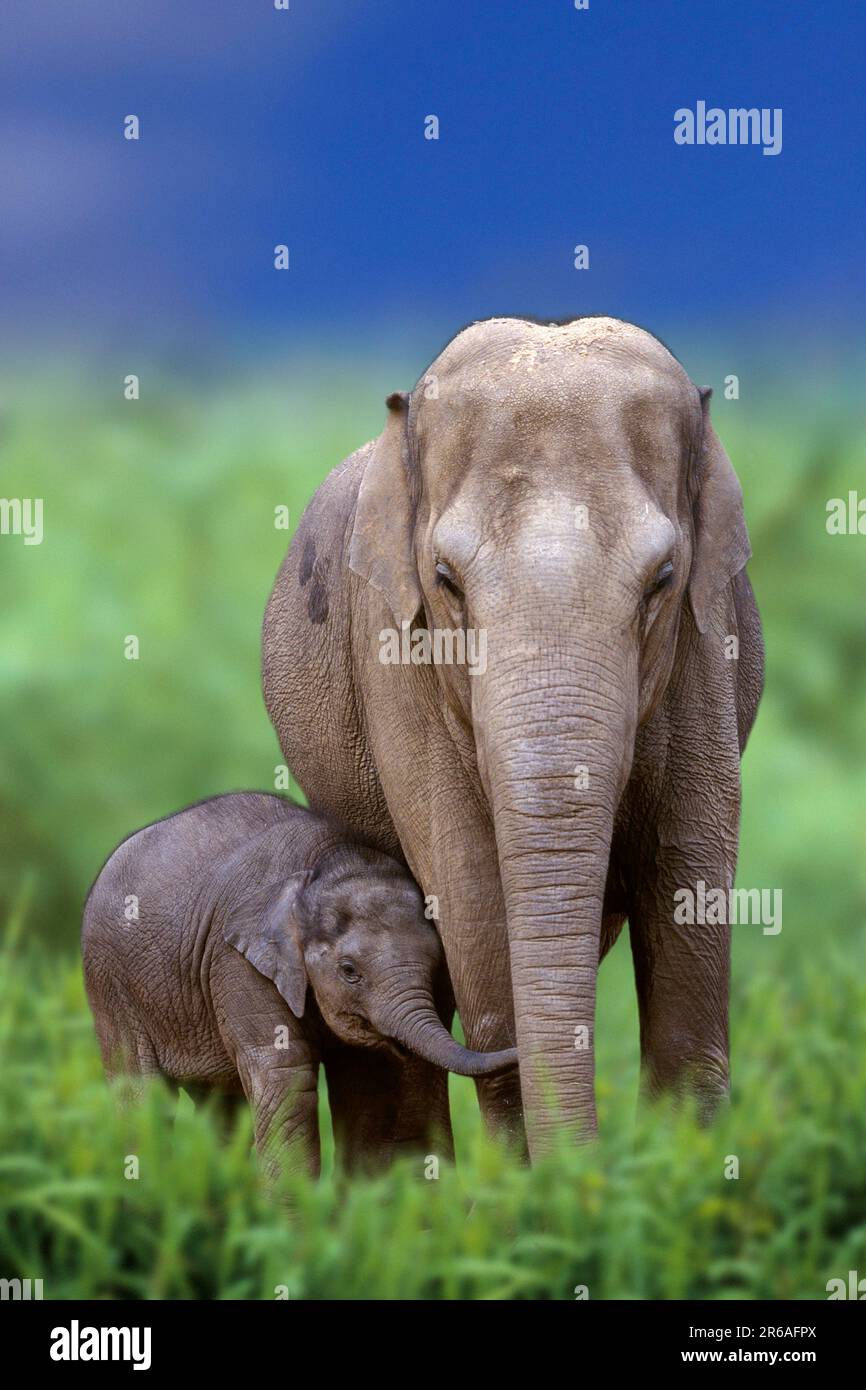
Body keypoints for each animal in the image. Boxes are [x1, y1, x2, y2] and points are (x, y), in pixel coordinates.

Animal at [82, 792, 516, 1177]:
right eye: (349, 970)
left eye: (435, 965)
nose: (518, 1049)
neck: (332, 860)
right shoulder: (235, 963)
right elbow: (285, 1076)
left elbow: (368, 1075)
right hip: (109, 981)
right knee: (141, 1095)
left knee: (222, 1107)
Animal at [262, 315, 764, 1163]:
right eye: (445, 579)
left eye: (664, 578)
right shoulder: (394, 651)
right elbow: (467, 888)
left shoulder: (707, 640)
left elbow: (689, 872)